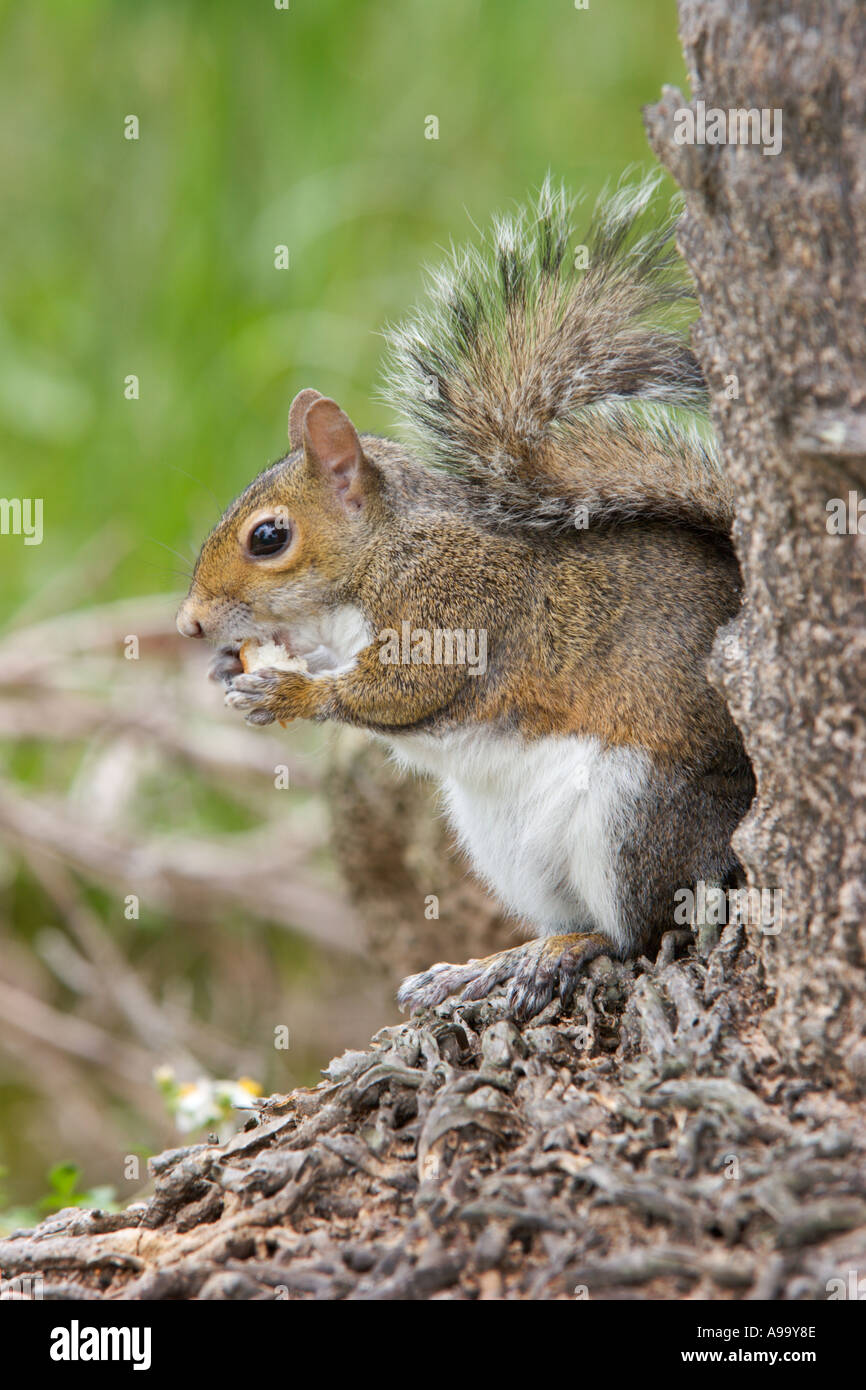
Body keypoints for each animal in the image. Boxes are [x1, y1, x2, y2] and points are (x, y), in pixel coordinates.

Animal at [177, 173, 754, 1020]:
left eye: (269, 538)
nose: (188, 624)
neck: (379, 559)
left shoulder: (454, 603)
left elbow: (401, 688)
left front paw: (292, 694)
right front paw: (231, 669)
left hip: (637, 815)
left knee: (642, 932)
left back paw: (570, 949)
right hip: (509, 847)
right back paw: (484, 965)